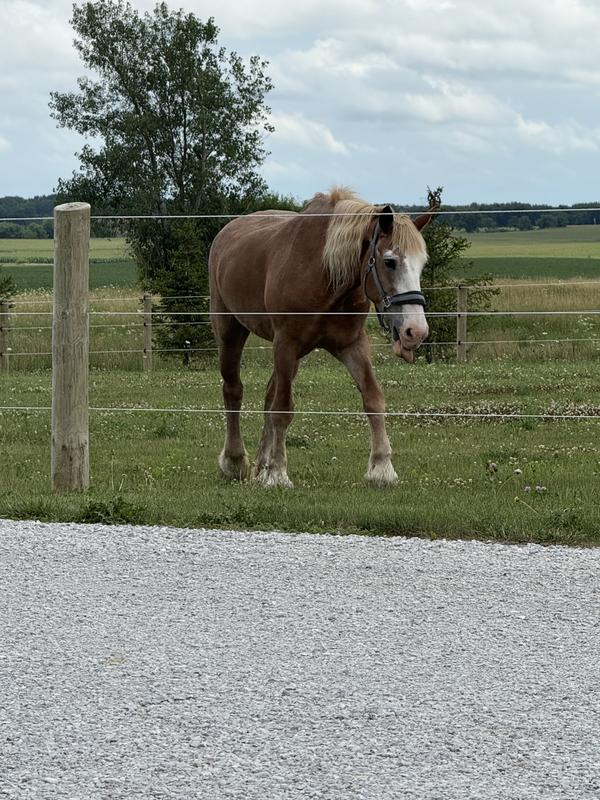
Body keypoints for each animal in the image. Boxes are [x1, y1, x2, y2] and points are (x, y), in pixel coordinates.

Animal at [208, 187, 436, 488]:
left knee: (268, 395)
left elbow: (373, 398)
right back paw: (234, 461)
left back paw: (262, 466)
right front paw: (279, 473)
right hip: (230, 330)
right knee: (233, 389)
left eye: (422, 265)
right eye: (390, 262)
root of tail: (226, 233)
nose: (416, 331)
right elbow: (283, 408)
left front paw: (382, 468)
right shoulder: (286, 343)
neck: (324, 274)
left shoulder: (352, 345)